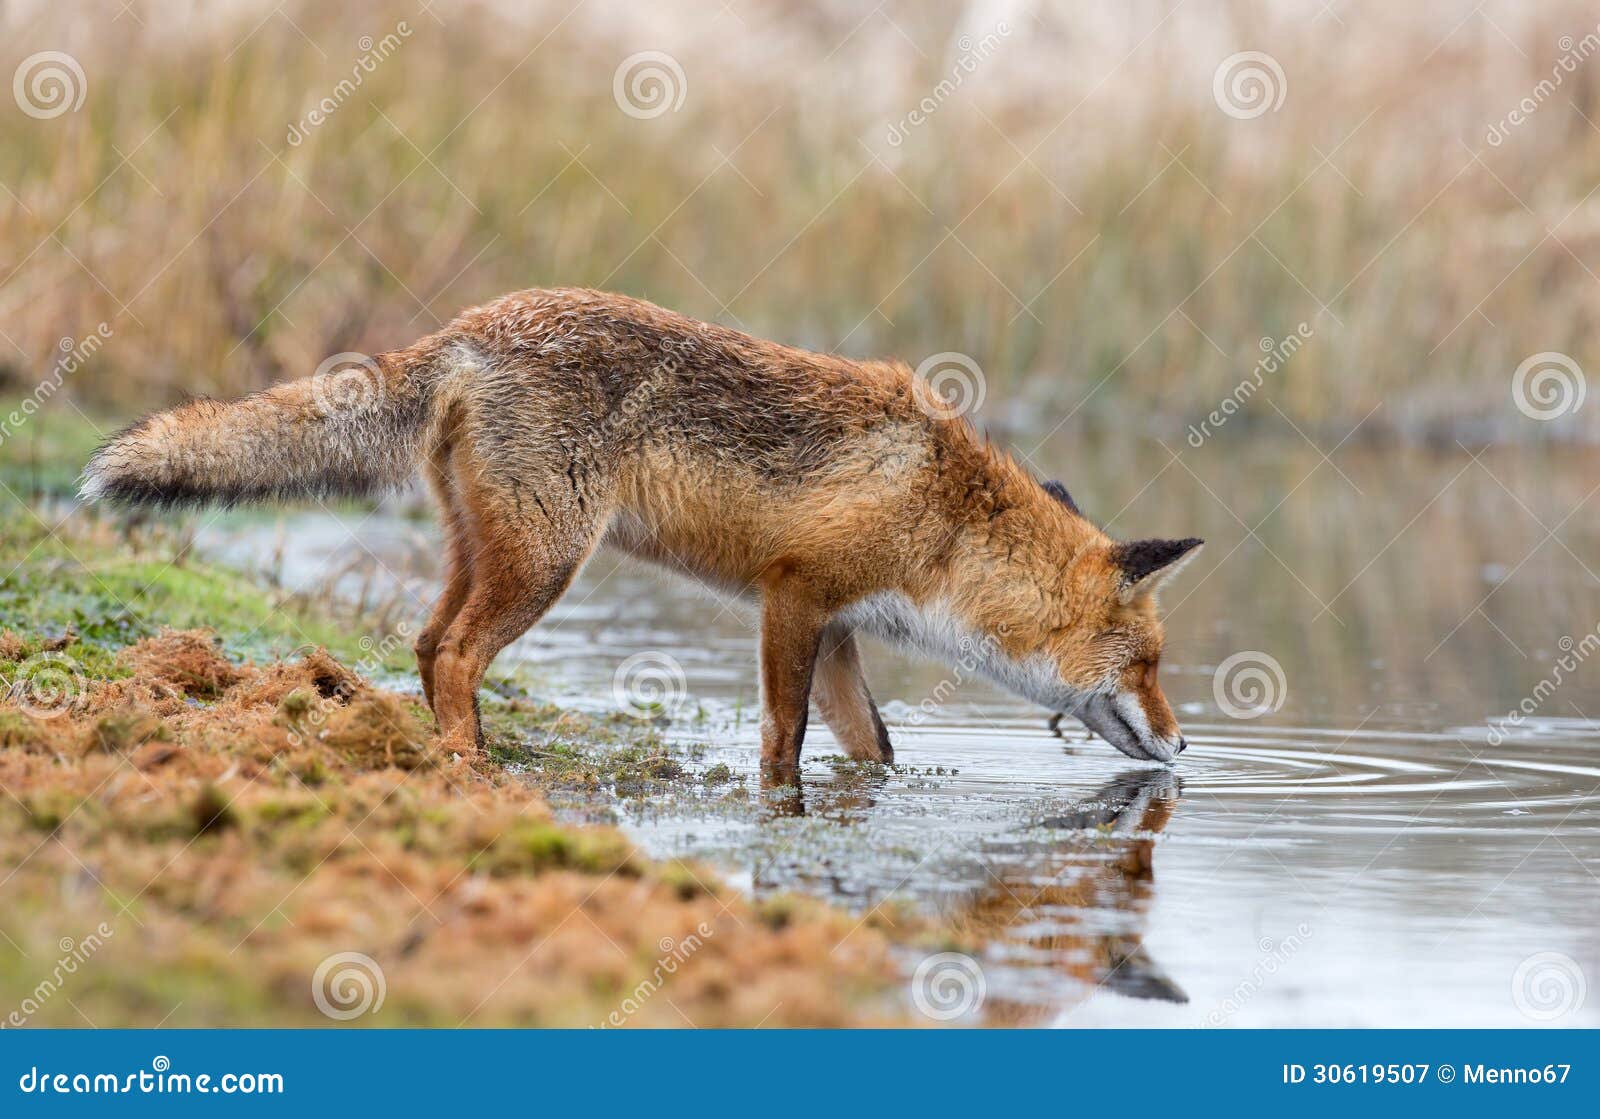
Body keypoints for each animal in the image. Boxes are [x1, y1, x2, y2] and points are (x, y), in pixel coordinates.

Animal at [81, 288, 1203, 772]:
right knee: (453, 655)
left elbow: (872, 749)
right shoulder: (793, 598)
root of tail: (467, 328)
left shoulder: (840, 630)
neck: (943, 516)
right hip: (546, 564)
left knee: (425, 643)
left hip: (488, 551)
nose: (1187, 744)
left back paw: (460, 750)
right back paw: (473, 769)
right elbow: (784, 744)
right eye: (1149, 665)